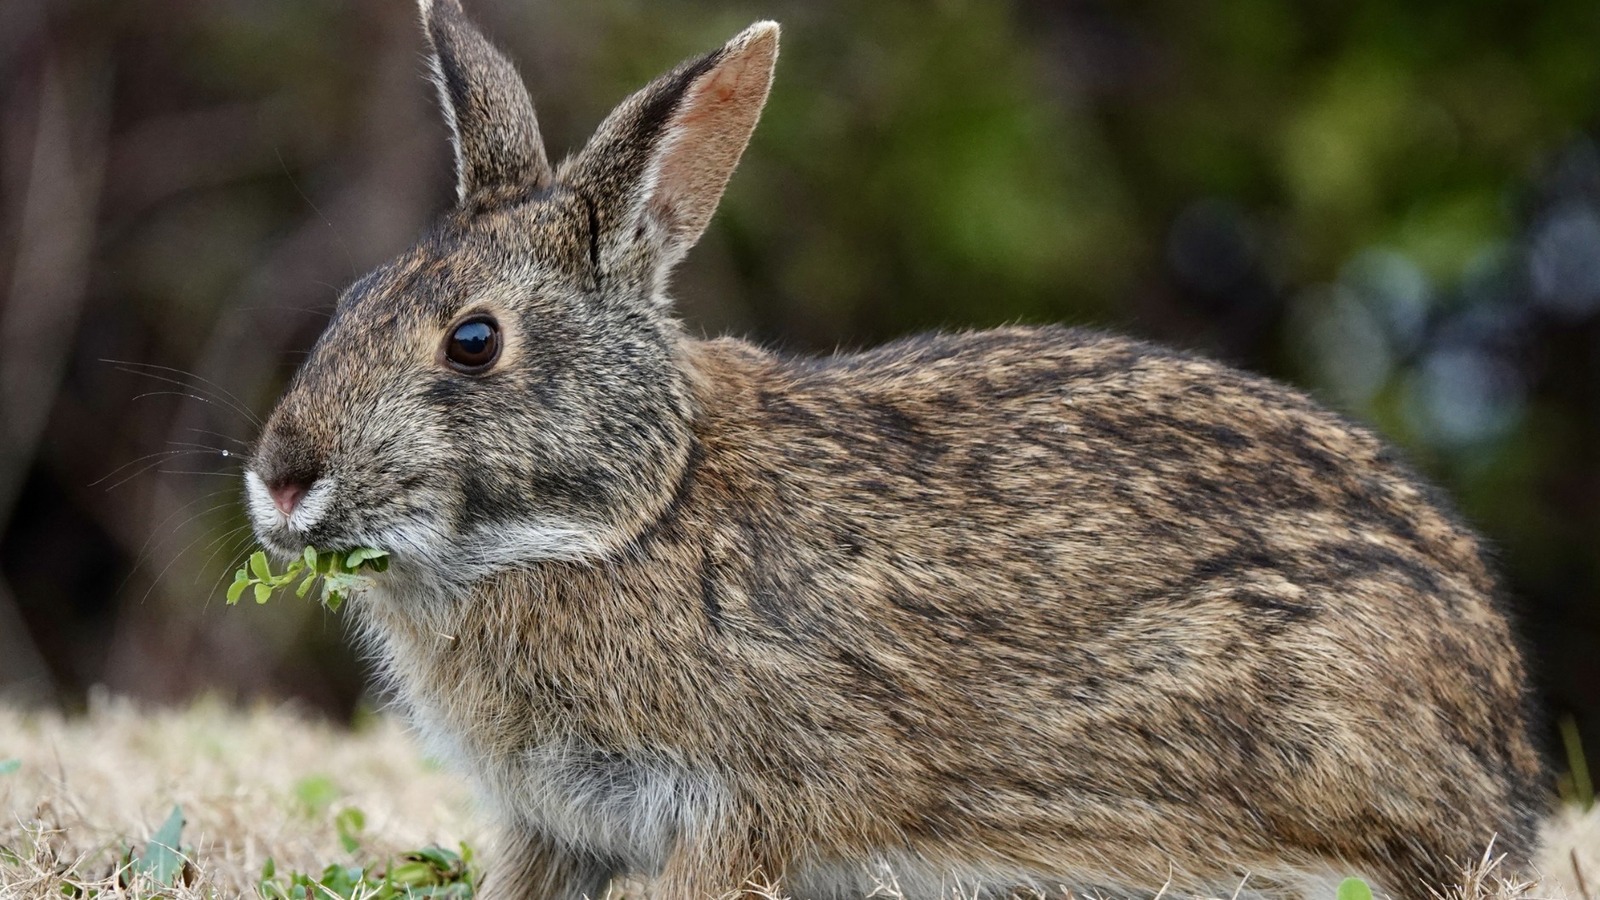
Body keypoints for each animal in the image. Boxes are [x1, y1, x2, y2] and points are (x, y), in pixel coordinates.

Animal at [243, 1, 1550, 898]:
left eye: (473, 342)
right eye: (354, 297)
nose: (282, 477)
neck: (631, 517)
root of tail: (1503, 744)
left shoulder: (738, 803)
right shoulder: (556, 827)